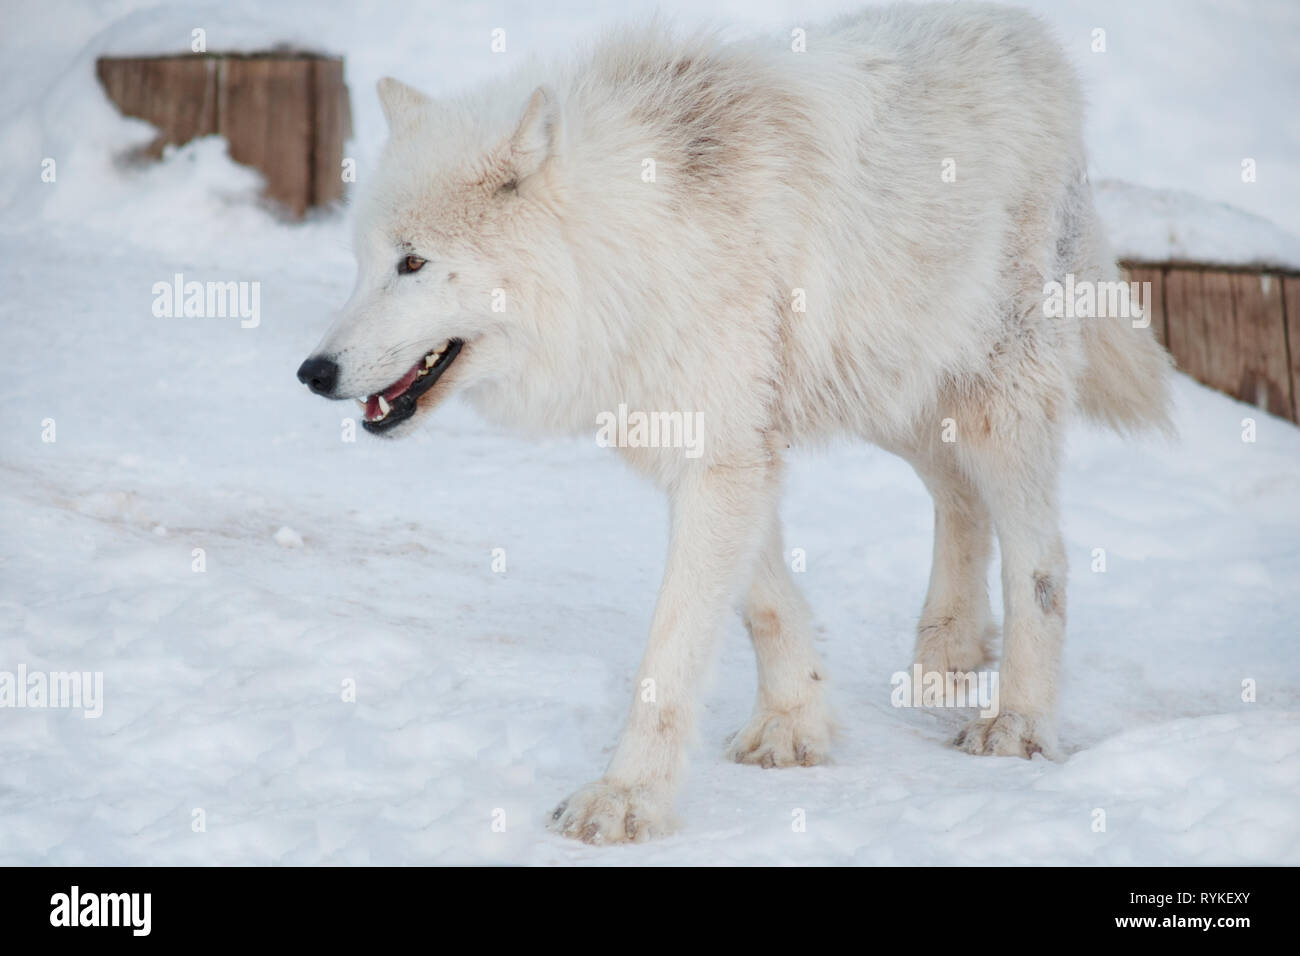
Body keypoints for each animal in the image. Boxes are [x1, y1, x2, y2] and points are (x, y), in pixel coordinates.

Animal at [297, 3, 1172, 844]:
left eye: (414, 263)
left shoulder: (722, 456)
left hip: (991, 401)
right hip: (887, 389)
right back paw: (946, 658)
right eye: (363, 263)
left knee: (1043, 561)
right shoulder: (717, 446)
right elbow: (767, 603)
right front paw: (795, 725)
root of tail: (1031, 34)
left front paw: (627, 800)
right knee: (958, 498)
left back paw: (1016, 720)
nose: (314, 373)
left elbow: (672, 652)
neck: (632, 248)